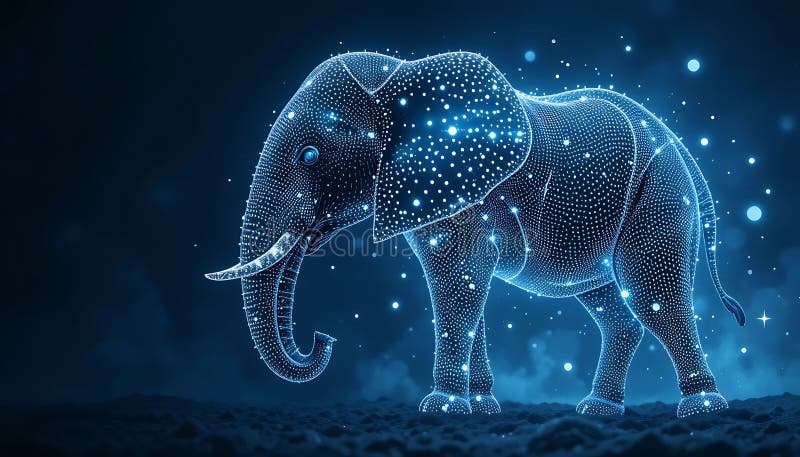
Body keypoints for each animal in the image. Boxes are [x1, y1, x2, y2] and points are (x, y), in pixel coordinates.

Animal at [206, 51, 745, 418]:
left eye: (311, 155)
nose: (323, 337)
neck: (400, 73)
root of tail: (674, 139)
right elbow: (467, 292)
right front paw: (481, 406)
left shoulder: (466, 192)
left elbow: (458, 285)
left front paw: (441, 407)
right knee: (610, 304)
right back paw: (599, 409)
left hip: (659, 193)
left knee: (656, 291)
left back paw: (703, 407)